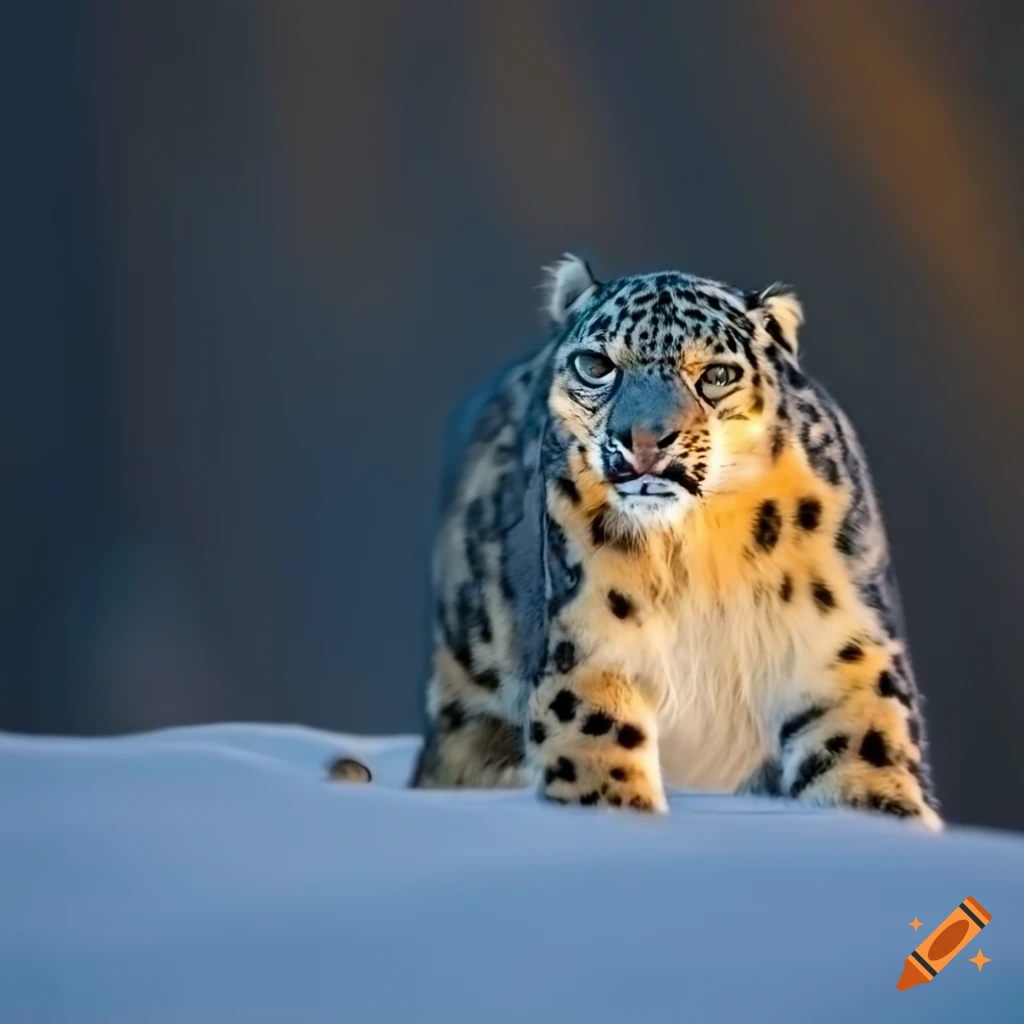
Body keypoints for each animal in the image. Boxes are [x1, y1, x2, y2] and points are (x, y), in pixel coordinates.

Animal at [408, 253, 941, 829]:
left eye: (717, 375)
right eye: (595, 364)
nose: (643, 439)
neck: (706, 550)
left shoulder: (842, 649)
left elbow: (866, 749)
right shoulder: (594, 644)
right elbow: (597, 748)